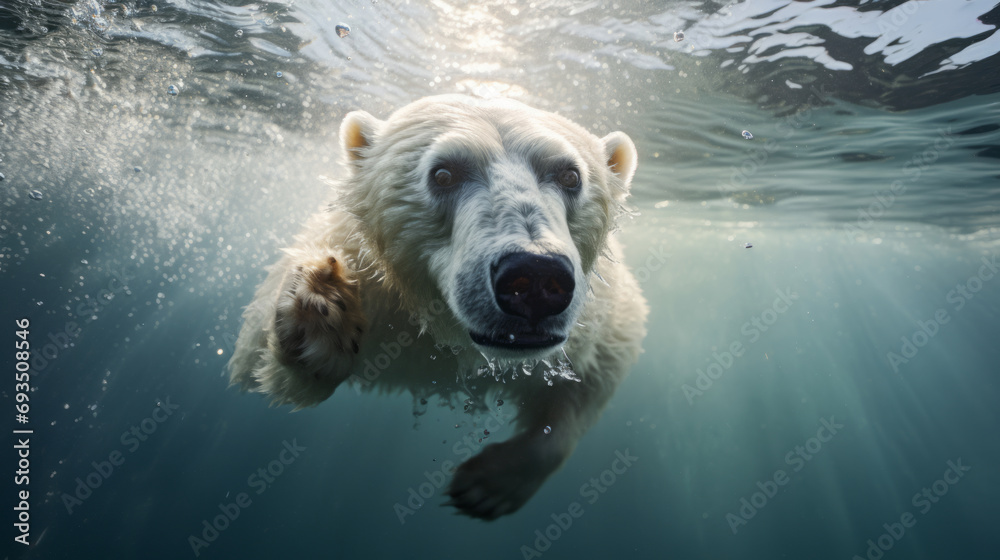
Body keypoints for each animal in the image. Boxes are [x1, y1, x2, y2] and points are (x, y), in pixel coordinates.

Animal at [228, 94, 648, 520]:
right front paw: (320, 311)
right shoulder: (364, 274)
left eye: (569, 175)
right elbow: (255, 362)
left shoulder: (598, 316)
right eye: (443, 174)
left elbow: (598, 372)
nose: (534, 277)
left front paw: (488, 485)